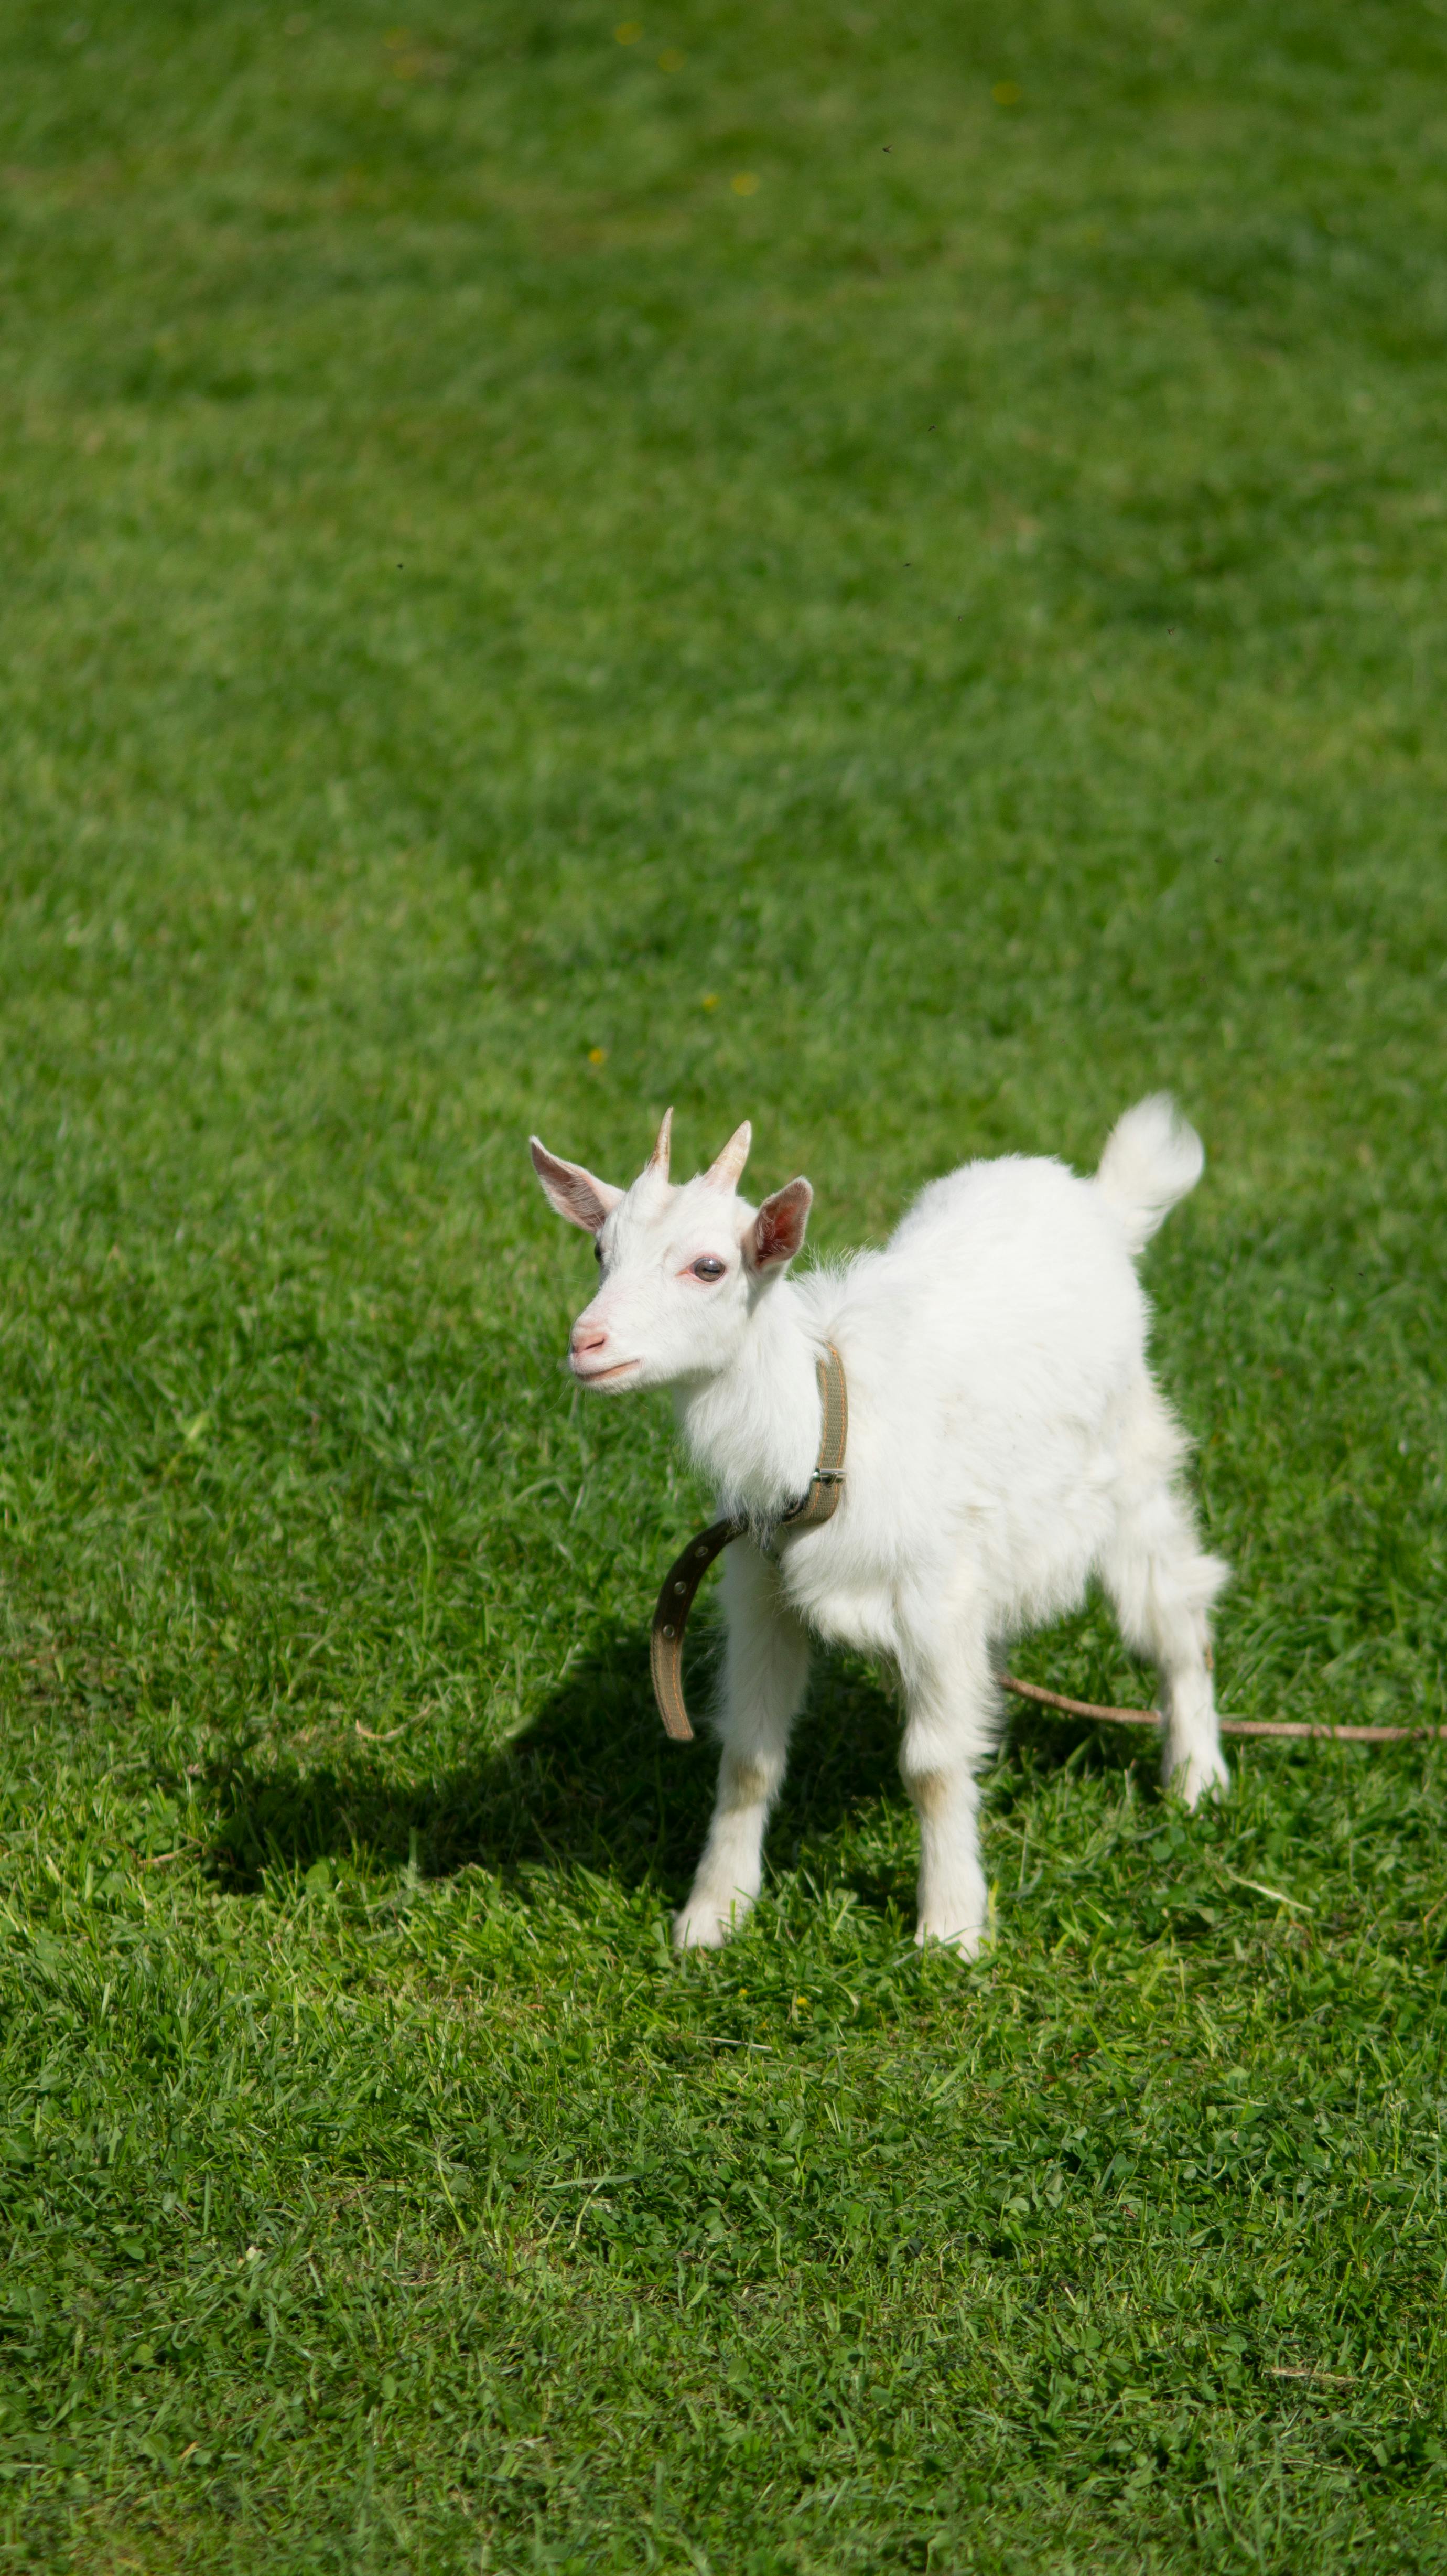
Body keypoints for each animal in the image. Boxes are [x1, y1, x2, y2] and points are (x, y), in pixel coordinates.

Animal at [530, 1099, 1228, 1956]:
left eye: (710, 1267)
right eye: (602, 1250)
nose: (586, 1343)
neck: (825, 1432)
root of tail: (1100, 1199)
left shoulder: (936, 1597)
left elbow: (931, 1765)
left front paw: (951, 1927)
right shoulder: (762, 1593)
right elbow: (750, 1755)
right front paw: (713, 1915)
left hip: (1129, 1472)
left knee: (1175, 1613)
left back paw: (1197, 1779)